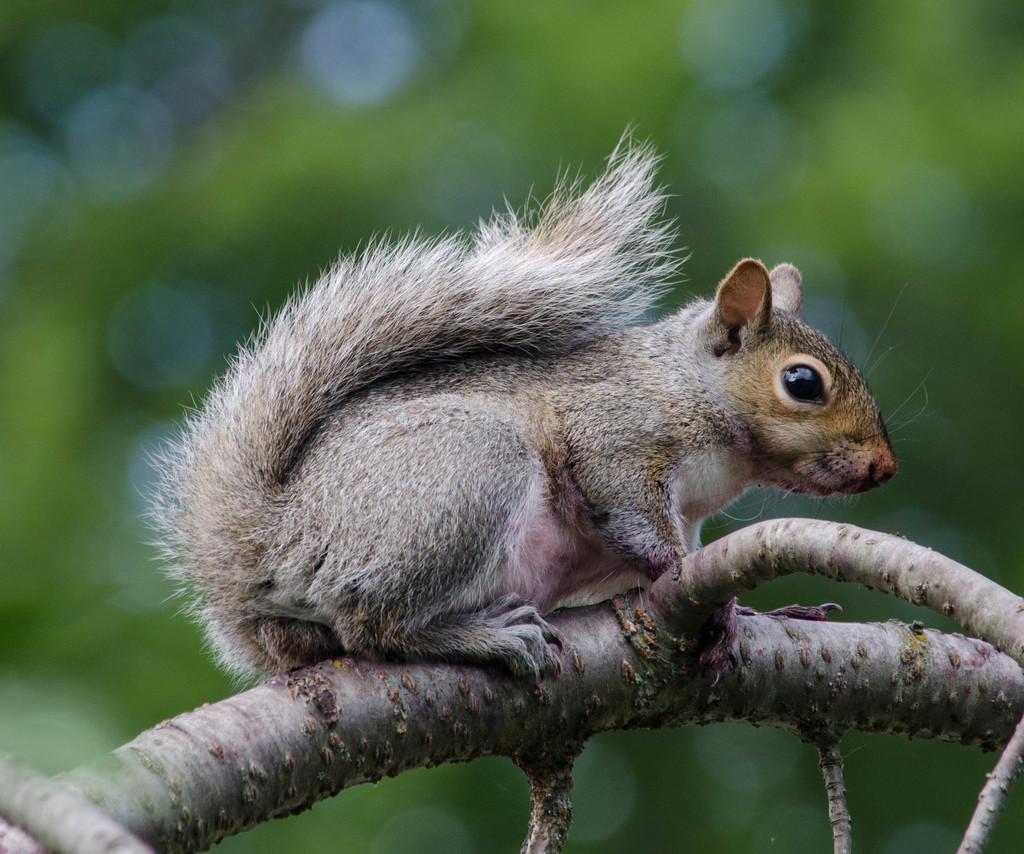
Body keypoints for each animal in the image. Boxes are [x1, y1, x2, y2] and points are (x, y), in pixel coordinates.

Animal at [152, 143, 897, 682]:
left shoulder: (687, 511)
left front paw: (749, 614)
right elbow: (635, 520)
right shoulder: (614, 433)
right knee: (373, 625)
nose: (885, 467)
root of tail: (273, 543)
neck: (689, 390)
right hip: (466, 471)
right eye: (802, 383)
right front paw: (702, 588)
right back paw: (482, 636)